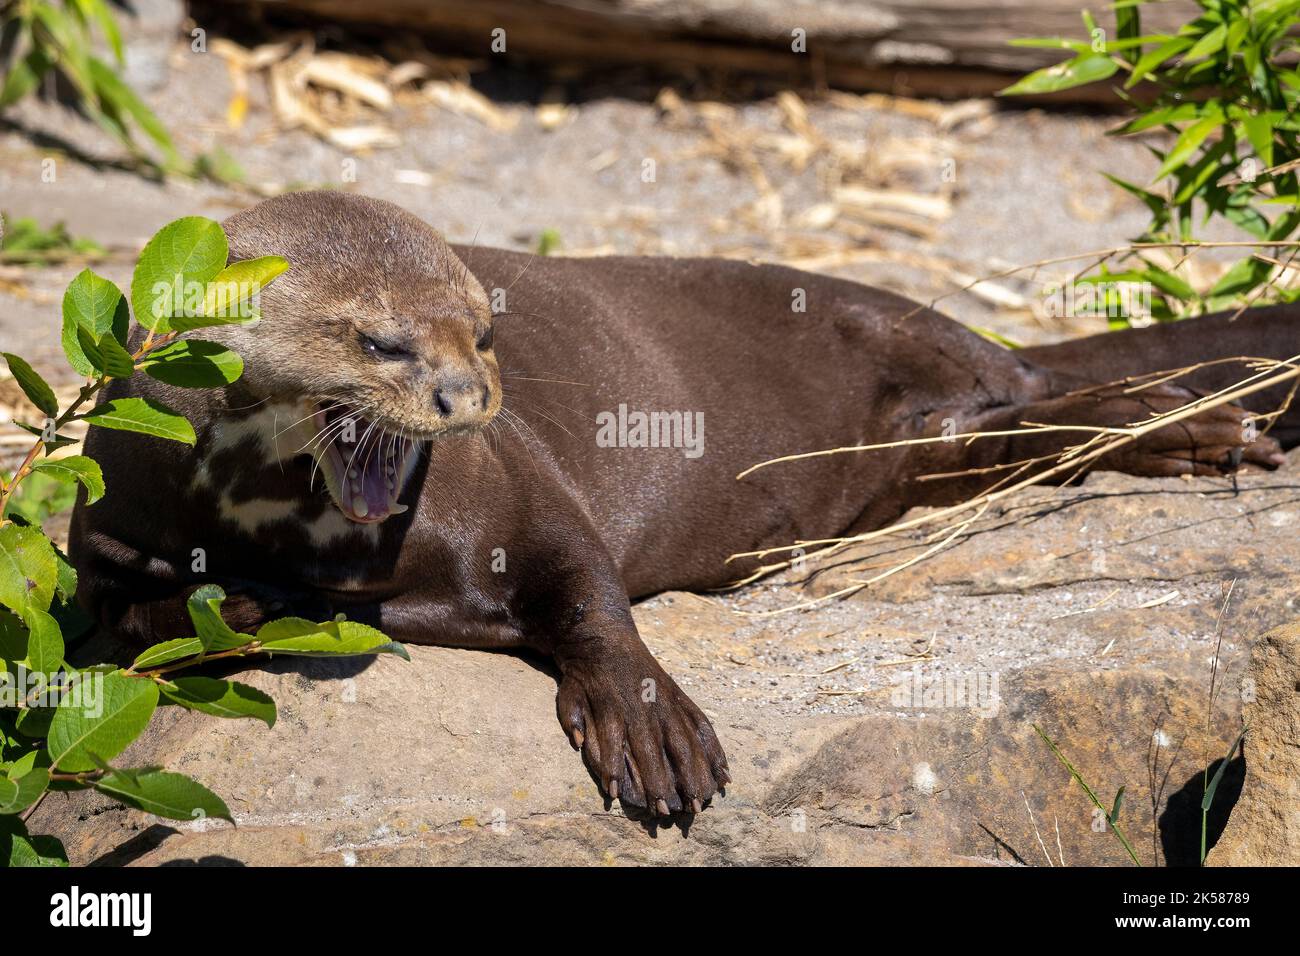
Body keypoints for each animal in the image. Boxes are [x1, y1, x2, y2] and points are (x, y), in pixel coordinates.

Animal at [70, 191, 1294, 817]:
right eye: (378, 339)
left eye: (485, 327)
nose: (468, 399)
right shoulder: (110, 528)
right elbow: (123, 616)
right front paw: (234, 601)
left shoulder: (521, 483)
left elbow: (589, 583)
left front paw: (647, 721)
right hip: (914, 453)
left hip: (918, 342)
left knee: (1038, 395)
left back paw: (1196, 426)